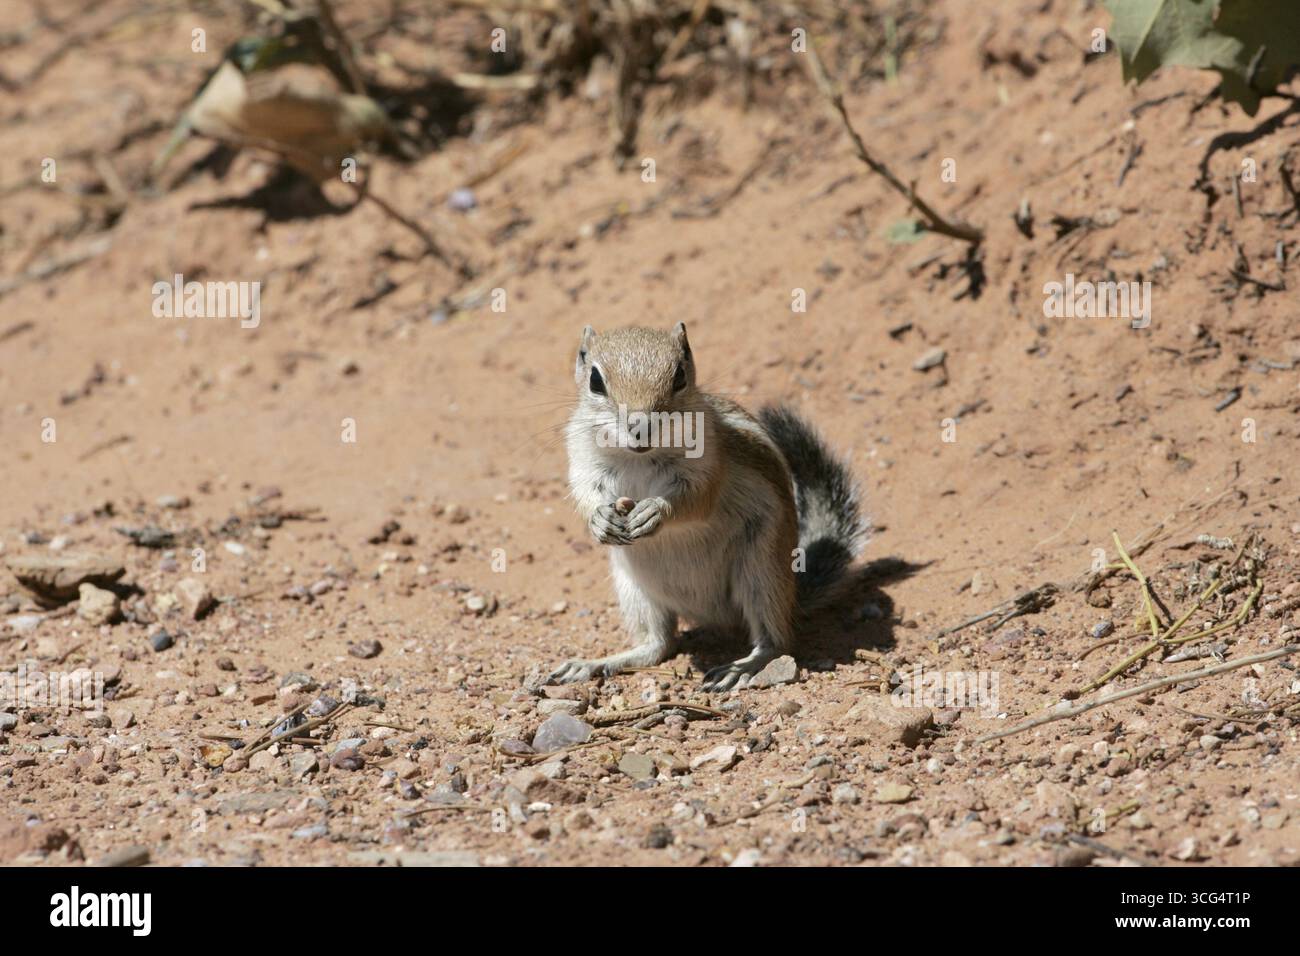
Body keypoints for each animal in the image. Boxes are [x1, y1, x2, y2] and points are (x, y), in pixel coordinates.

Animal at [548, 322, 867, 691]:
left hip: (763, 568)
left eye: (679, 376)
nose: (640, 426)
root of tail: (712, 614)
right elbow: (585, 493)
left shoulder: (707, 463)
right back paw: (593, 663)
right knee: (658, 645)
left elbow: (699, 499)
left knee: (777, 640)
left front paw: (655, 511)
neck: (638, 458)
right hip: (634, 588)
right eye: (595, 381)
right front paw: (600, 520)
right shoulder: (584, 460)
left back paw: (743, 667)